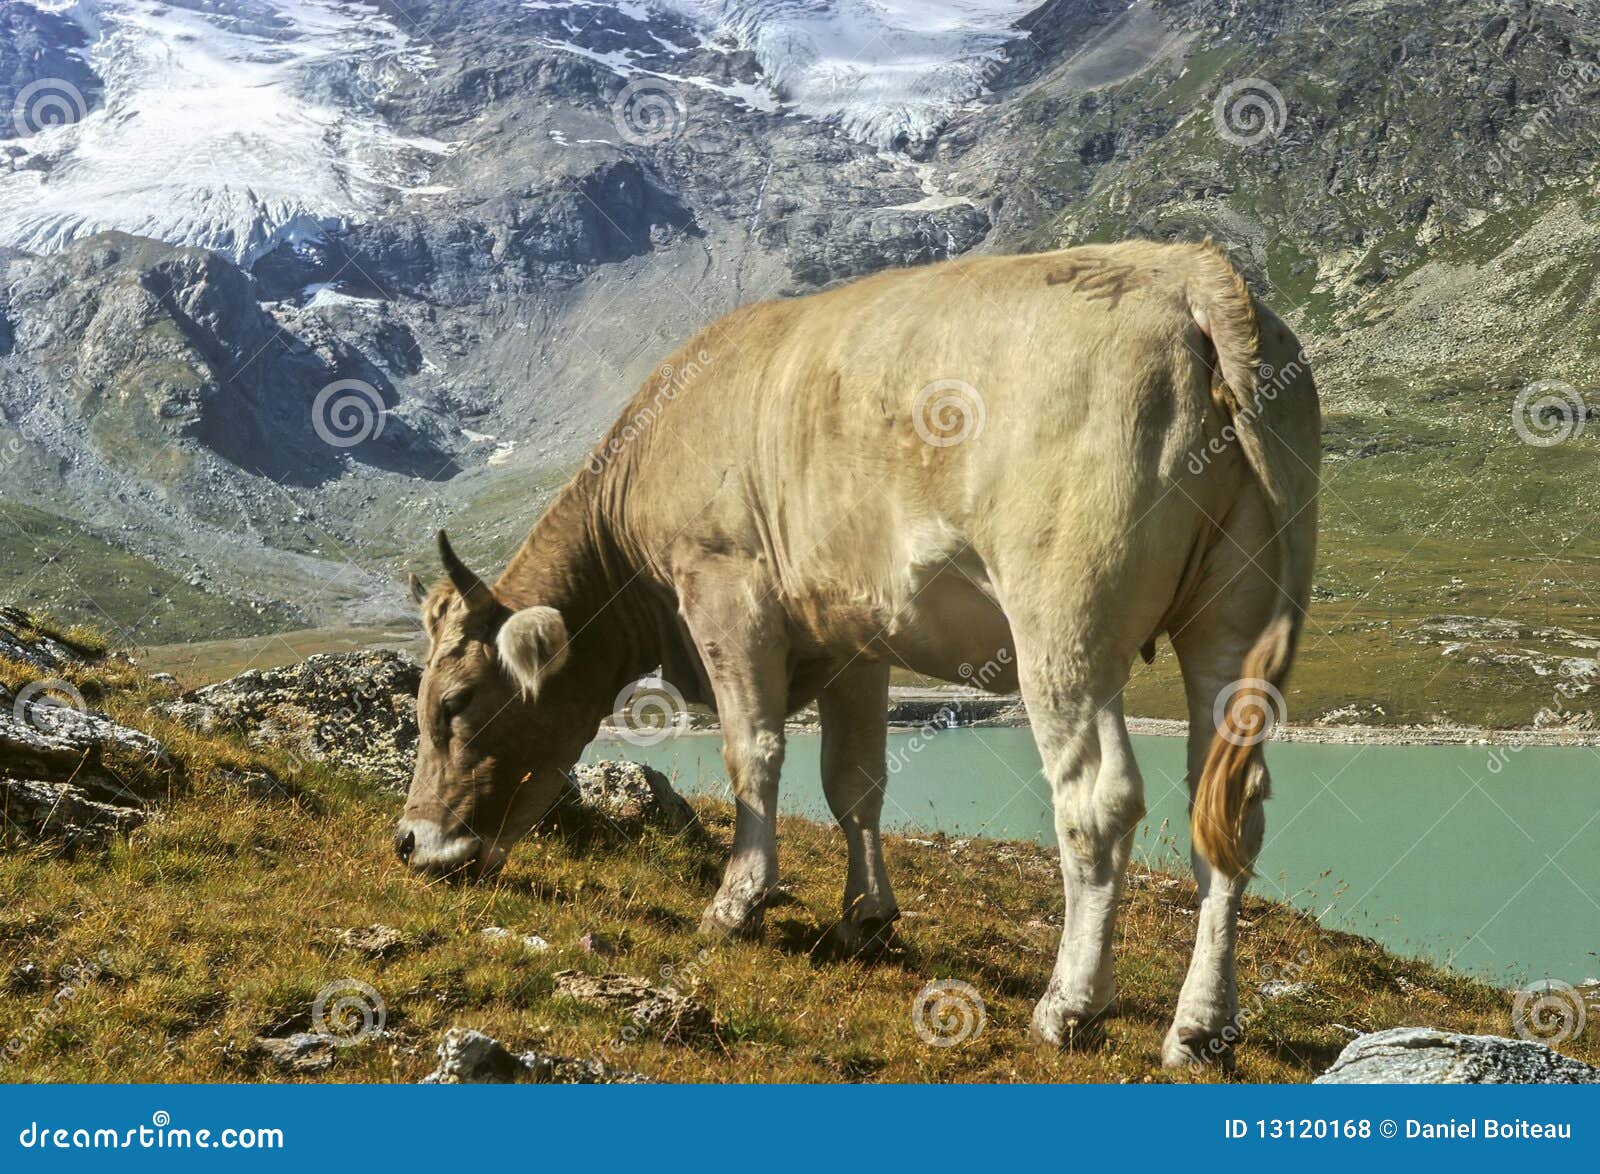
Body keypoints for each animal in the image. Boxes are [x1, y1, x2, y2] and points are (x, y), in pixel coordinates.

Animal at [395, 239, 1320, 1067]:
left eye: (454, 704)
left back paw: (1069, 1007)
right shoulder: (853, 640)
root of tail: (1188, 271)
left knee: (1098, 801)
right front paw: (864, 918)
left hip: (1063, 623)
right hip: (1230, 629)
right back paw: (1198, 1027)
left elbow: (753, 754)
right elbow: (855, 782)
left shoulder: (726, 589)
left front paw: (737, 902)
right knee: (1233, 807)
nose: (407, 842)